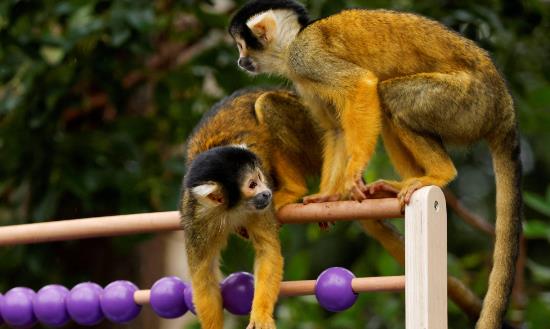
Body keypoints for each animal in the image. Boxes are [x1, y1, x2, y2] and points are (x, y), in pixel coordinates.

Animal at [181, 88, 322, 326]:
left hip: (311, 129)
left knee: (266, 104)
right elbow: (203, 276)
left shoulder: (260, 208)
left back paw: (293, 189)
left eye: (259, 178)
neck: (231, 208)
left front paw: (261, 315)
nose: (267, 193)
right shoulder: (195, 218)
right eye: (252, 185)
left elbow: (268, 252)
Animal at [231, 1, 524, 326]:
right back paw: (403, 184)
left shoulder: (304, 56)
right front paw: (328, 196)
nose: (240, 60)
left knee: (388, 95)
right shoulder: (301, 78)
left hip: (468, 104)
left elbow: (361, 85)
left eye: (242, 45)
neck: (293, 38)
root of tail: (504, 106)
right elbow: (336, 130)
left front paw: (354, 171)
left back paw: (440, 173)